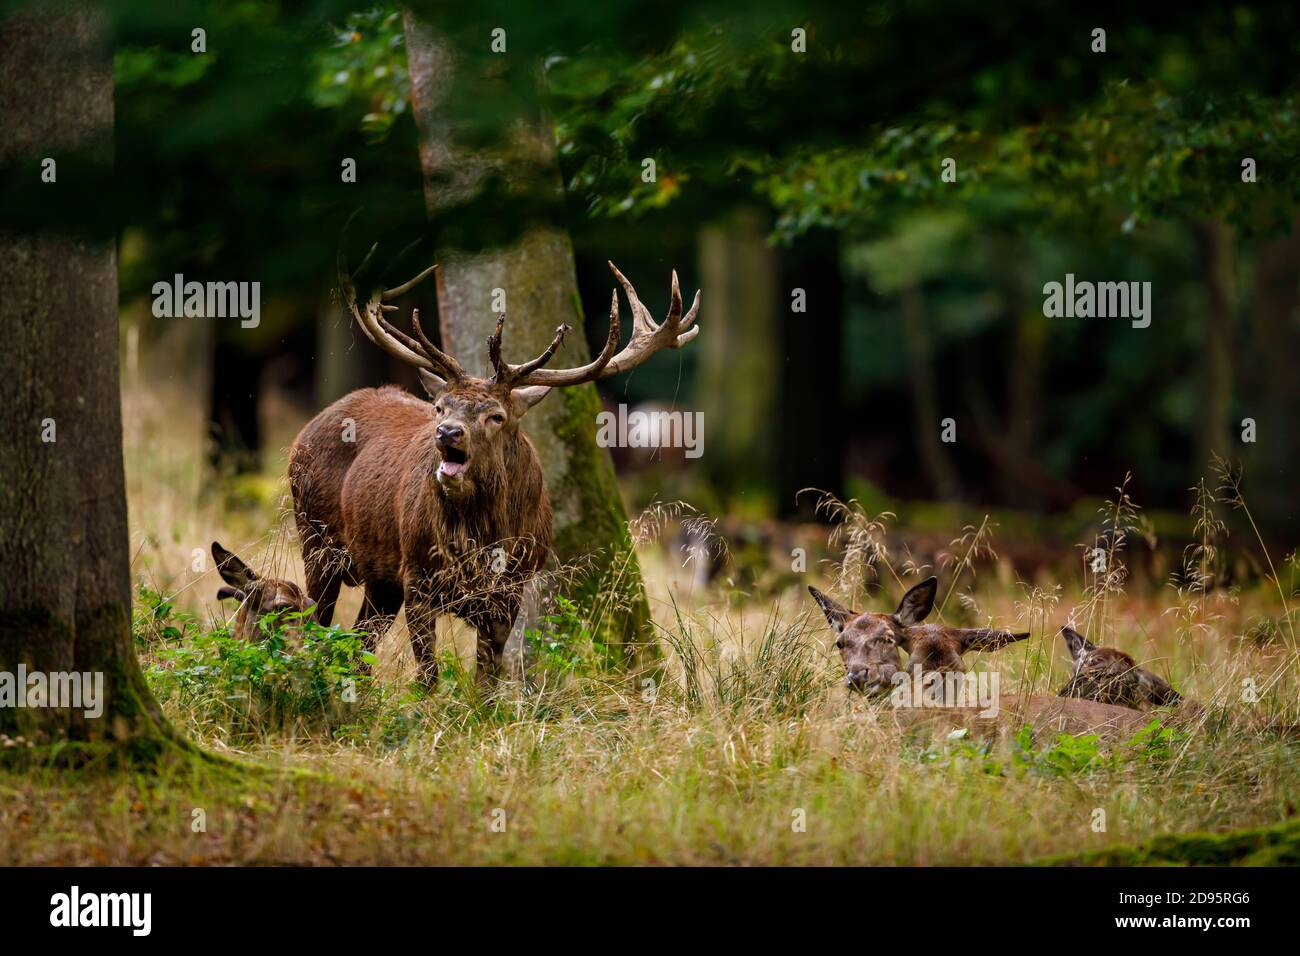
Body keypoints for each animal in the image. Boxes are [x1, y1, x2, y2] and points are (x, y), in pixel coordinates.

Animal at [289, 252, 700, 685]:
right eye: (441, 406)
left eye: (496, 416)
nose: (447, 432)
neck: (479, 540)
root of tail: (311, 424)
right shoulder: (417, 575)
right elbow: (429, 676)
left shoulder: (511, 589)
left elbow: (487, 678)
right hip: (315, 539)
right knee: (318, 625)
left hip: (379, 581)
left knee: (356, 646)